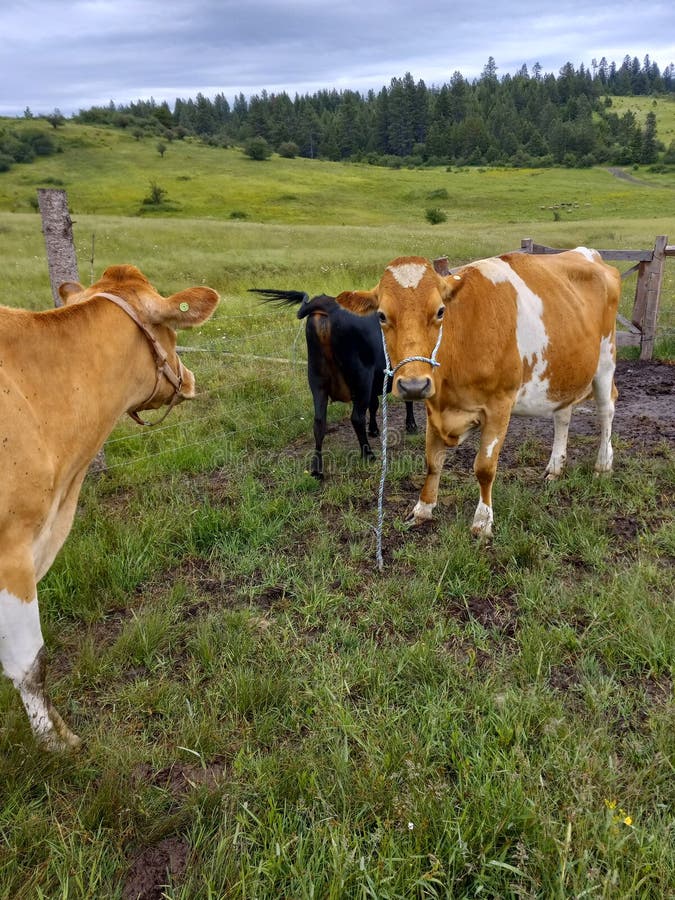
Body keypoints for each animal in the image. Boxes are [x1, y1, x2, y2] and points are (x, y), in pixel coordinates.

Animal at [250, 289, 417, 478]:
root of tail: (330, 304)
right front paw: (411, 425)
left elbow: (374, 405)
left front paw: (374, 429)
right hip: (361, 376)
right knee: (356, 417)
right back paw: (368, 454)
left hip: (318, 380)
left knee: (319, 422)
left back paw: (317, 468)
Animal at [333, 249, 620, 537]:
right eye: (381, 316)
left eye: (440, 311)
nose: (414, 385)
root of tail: (588, 254)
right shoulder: (434, 406)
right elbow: (432, 461)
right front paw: (423, 508)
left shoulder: (499, 405)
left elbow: (484, 467)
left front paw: (482, 522)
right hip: (565, 370)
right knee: (563, 415)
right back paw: (555, 468)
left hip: (605, 360)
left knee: (606, 410)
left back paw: (603, 465)